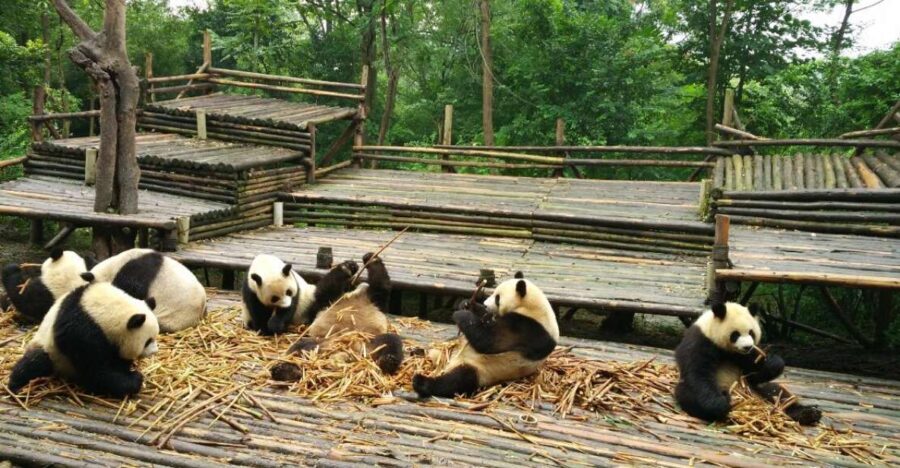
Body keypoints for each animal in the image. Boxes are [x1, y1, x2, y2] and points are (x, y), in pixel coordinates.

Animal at [8, 280, 160, 398]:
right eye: (147, 341)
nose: (154, 351)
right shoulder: (81, 331)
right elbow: (96, 369)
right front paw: (134, 379)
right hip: (50, 350)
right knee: (35, 362)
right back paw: (16, 385)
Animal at [412, 272, 559, 398]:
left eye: (498, 298)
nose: (486, 304)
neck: (533, 308)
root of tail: (446, 365)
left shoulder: (528, 329)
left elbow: (489, 341)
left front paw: (462, 314)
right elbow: (485, 320)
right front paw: (466, 304)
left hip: (481, 370)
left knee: (458, 379)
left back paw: (422, 382)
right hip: (446, 352)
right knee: (436, 351)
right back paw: (417, 352)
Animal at [674, 301, 821, 425]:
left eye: (751, 332)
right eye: (735, 334)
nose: (747, 346)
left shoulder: (747, 356)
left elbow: (755, 373)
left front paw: (773, 363)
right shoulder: (701, 341)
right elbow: (698, 373)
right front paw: (720, 403)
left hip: (757, 389)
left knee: (778, 393)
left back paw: (809, 413)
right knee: (687, 395)